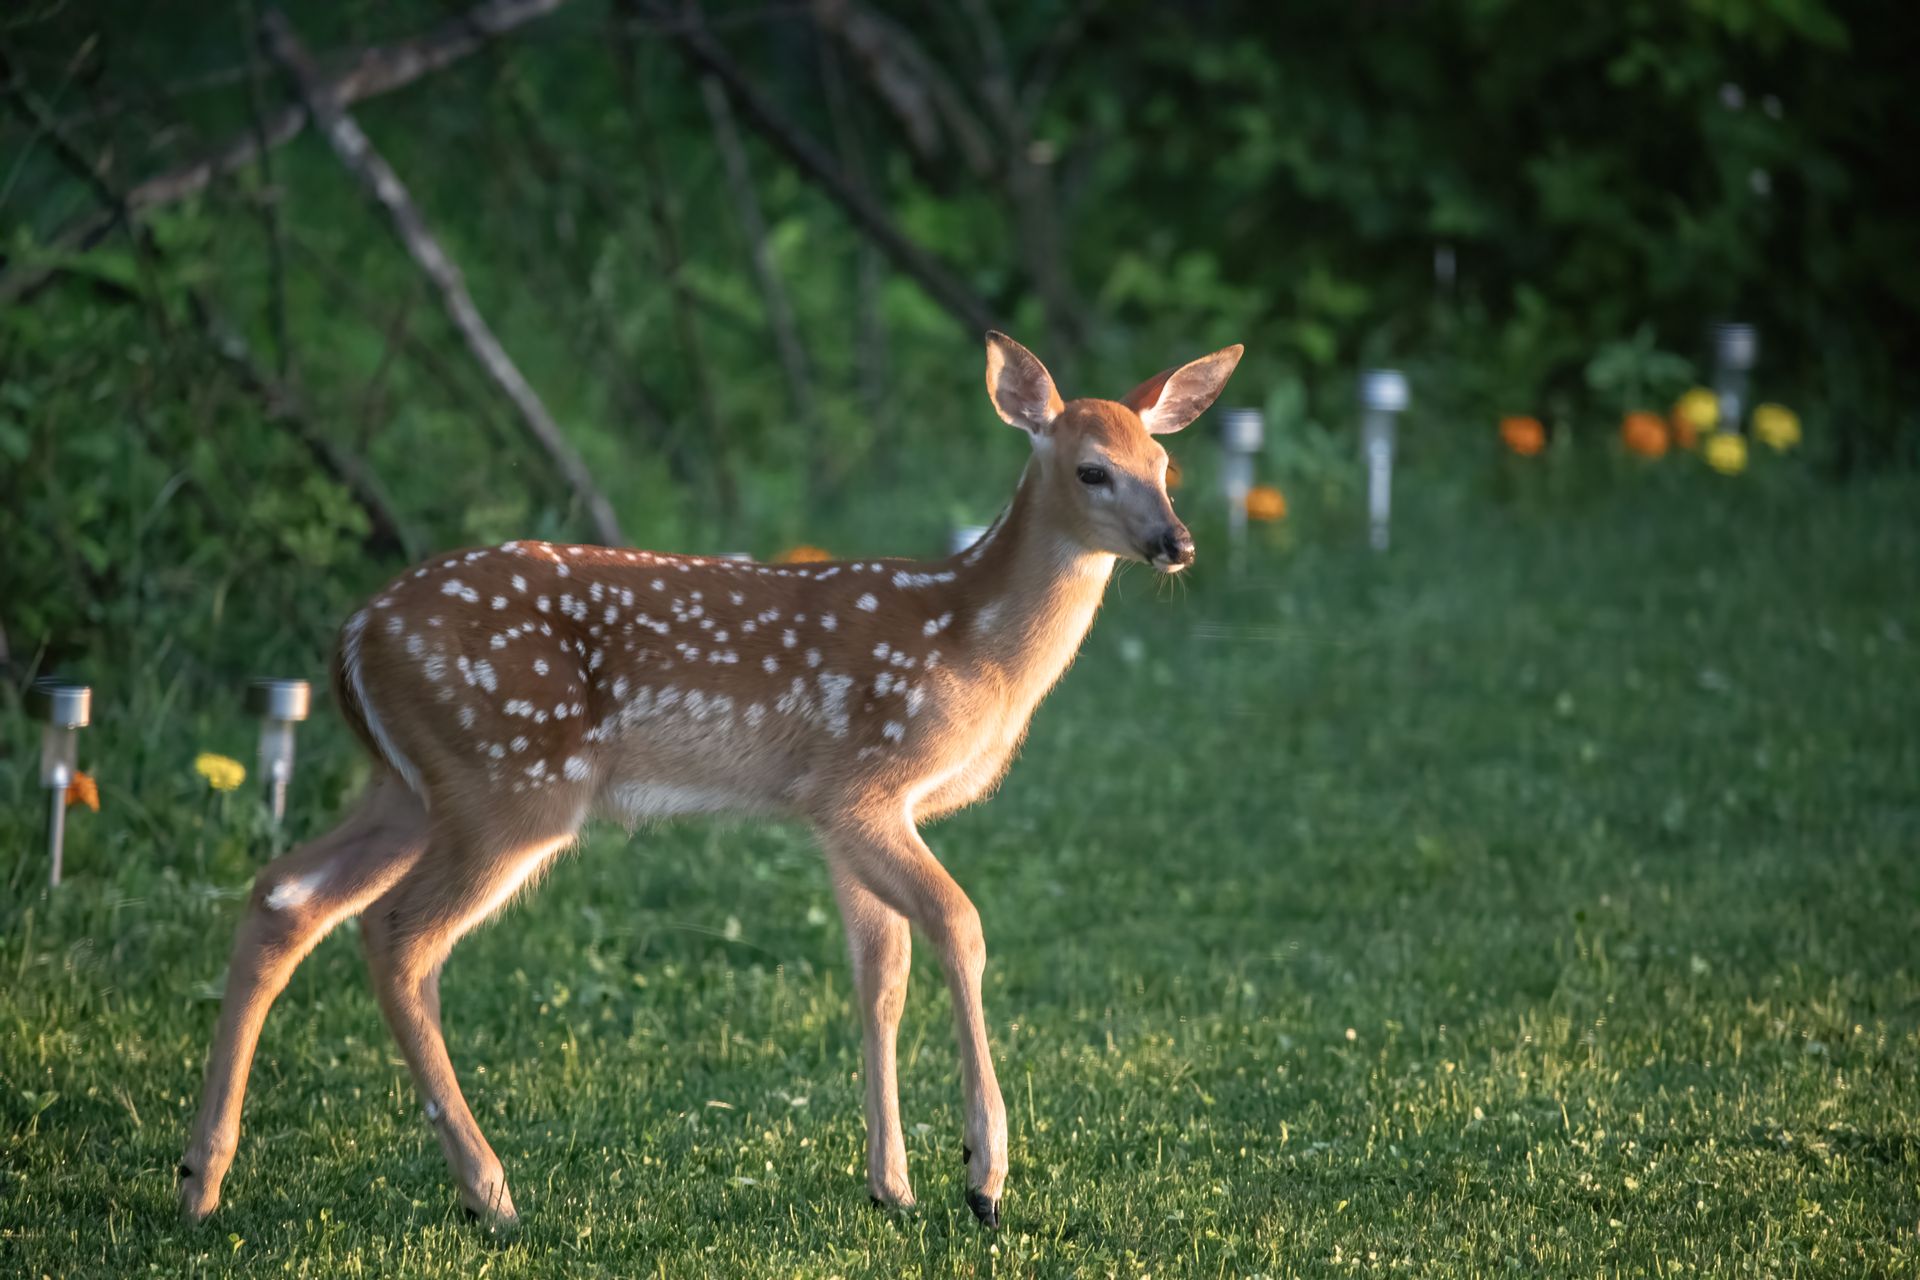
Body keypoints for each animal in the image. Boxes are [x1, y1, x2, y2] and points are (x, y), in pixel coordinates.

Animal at [177, 331, 1243, 1230]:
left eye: (1166, 467)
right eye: (1092, 469)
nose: (1178, 542)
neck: (969, 643)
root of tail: (355, 635)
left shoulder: (839, 816)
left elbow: (879, 976)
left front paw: (891, 1185)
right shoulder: (860, 784)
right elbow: (959, 925)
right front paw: (982, 1176)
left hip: (407, 786)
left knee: (285, 896)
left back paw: (201, 1179)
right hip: (512, 782)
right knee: (397, 937)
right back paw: (491, 1193)